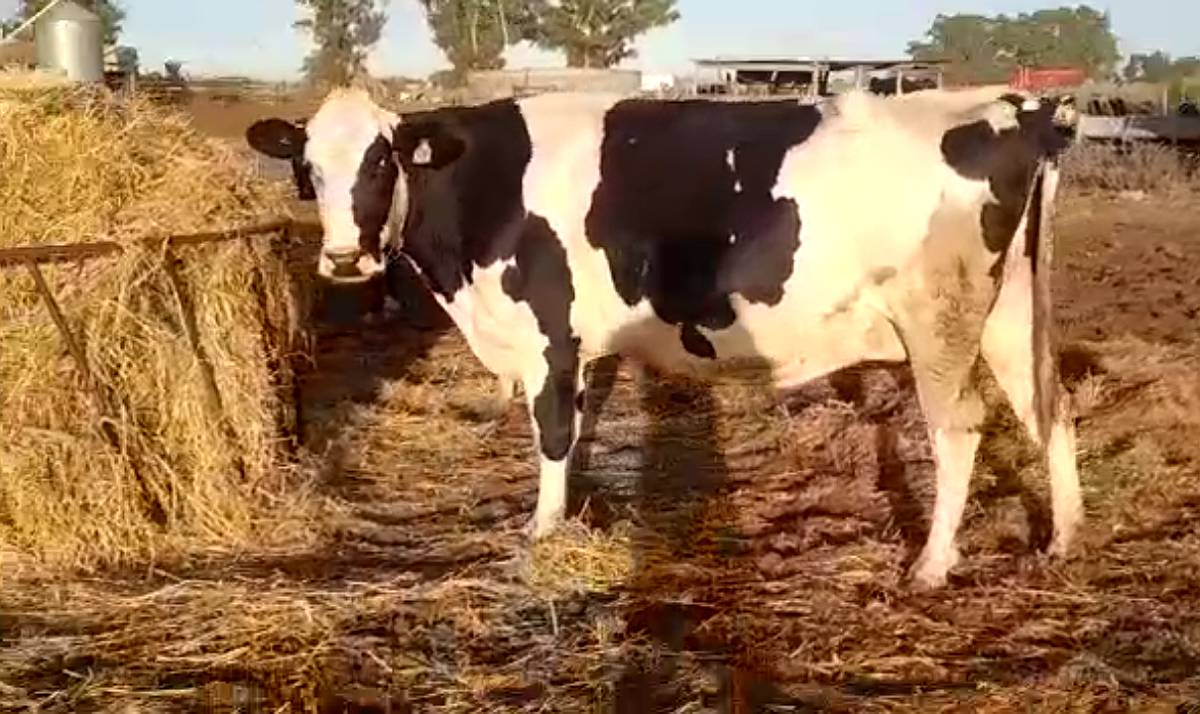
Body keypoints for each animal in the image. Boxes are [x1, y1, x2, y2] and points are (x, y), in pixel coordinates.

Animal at [245, 86, 1082, 589]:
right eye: (307, 169)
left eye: (381, 161)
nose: (344, 258)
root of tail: (1013, 105)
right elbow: (574, 426)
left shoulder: (549, 332)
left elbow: (553, 432)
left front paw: (542, 528)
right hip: (1006, 313)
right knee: (1052, 410)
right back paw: (1065, 536)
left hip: (938, 319)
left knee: (960, 428)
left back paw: (933, 563)